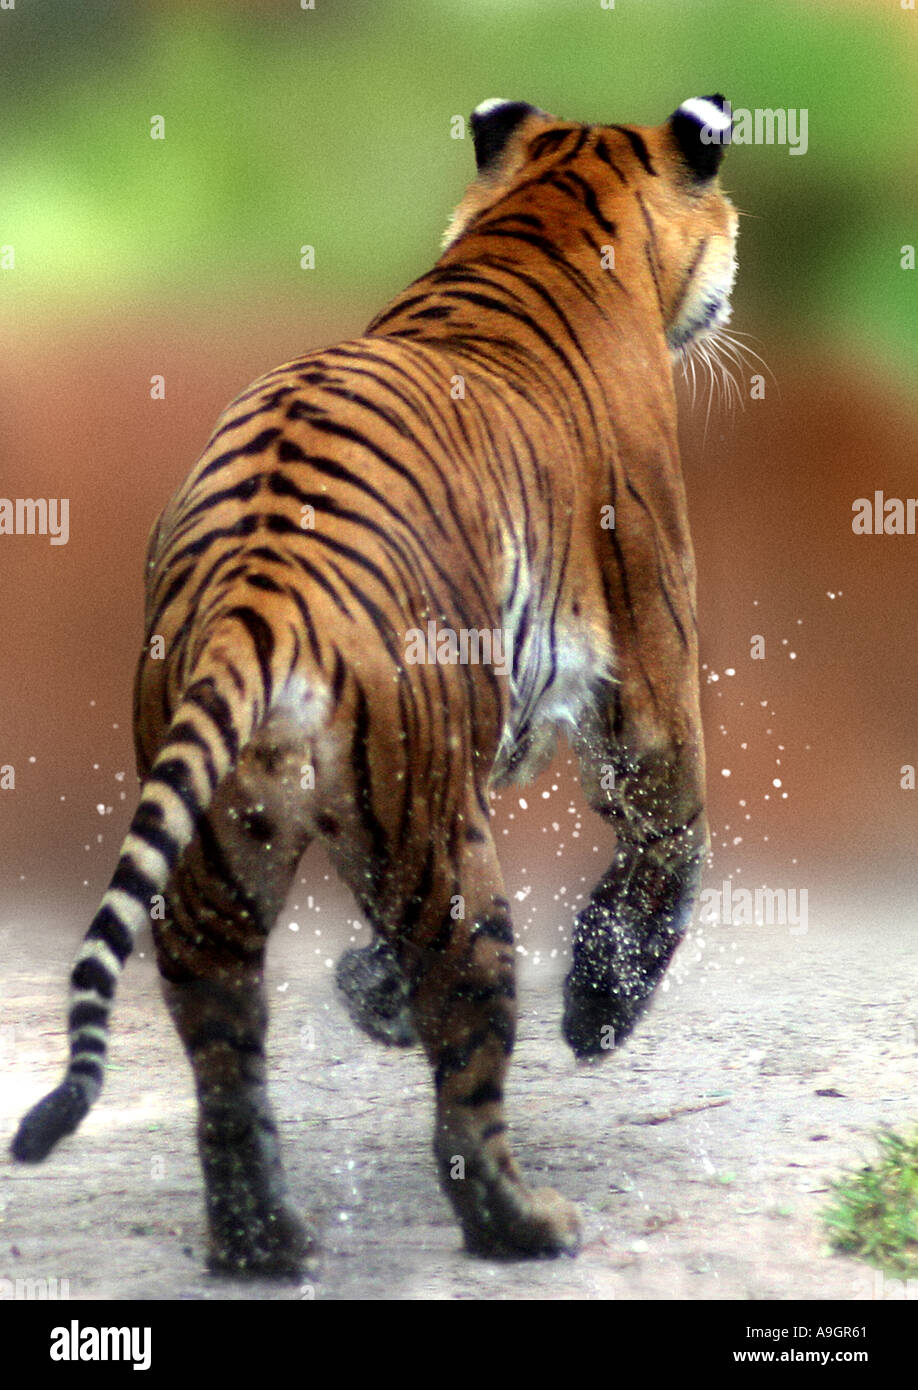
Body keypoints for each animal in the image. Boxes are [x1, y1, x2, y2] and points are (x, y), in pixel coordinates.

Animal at [11, 94, 738, 1272]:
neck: (547, 214)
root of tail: (262, 589)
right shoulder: (650, 679)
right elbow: (669, 847)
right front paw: (598, 1009)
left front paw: (367, 992)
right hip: (446, 841)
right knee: (468, 1064)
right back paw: (527, 1224)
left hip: (222, 860)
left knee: (223, 1055)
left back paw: (265, 1240)